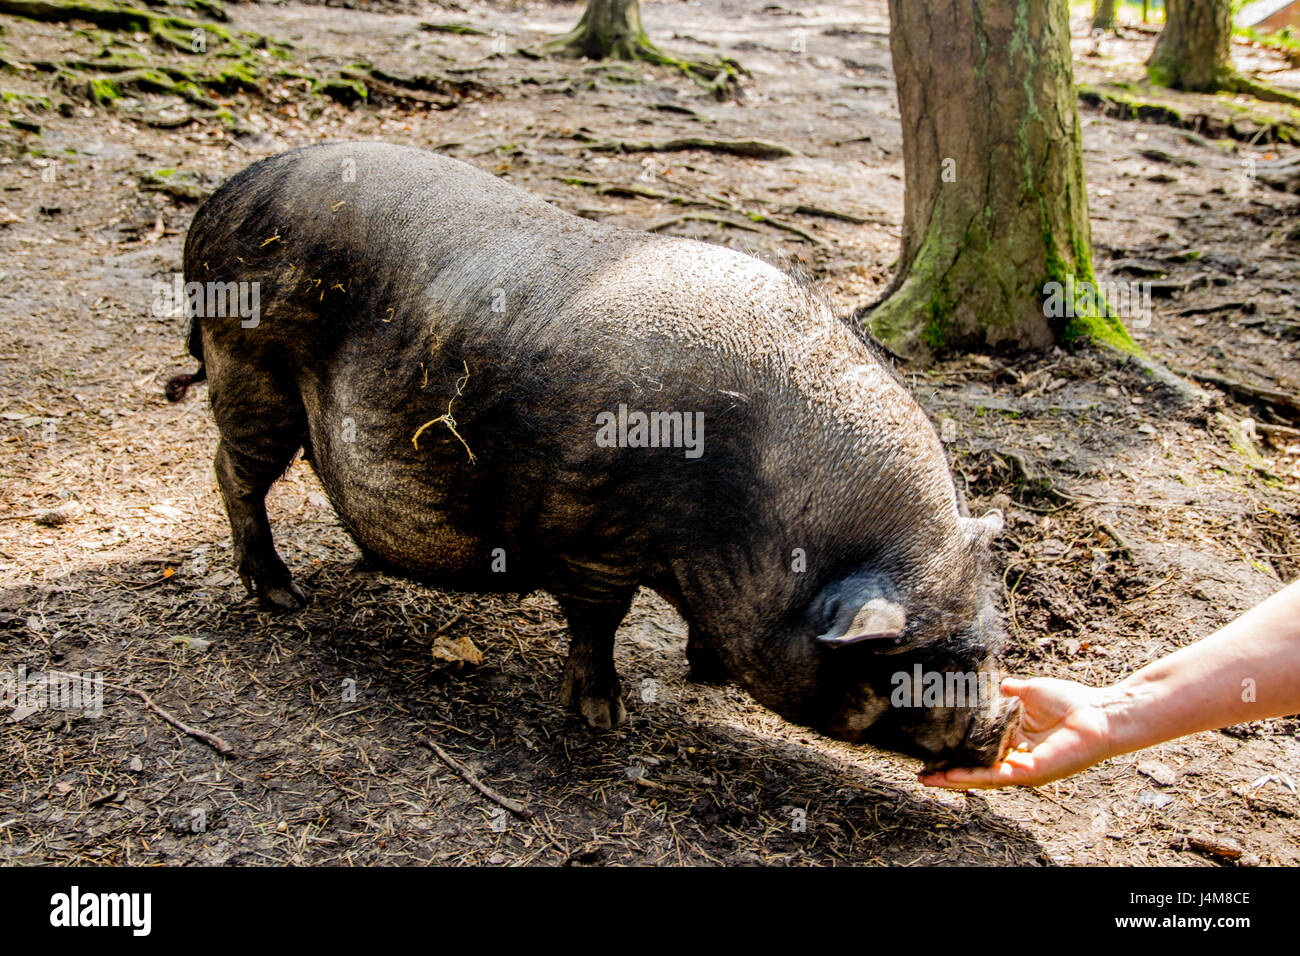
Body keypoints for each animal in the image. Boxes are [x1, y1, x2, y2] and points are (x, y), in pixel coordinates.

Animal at [168, 142, 1019, 770]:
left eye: (986, 646)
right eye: (914, 663)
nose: (1002, 726)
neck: (756, 514)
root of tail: (217, 200)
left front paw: (709, 676)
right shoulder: (592, 533)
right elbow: (598, 620)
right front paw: (605, 719)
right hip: (251, 371)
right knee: (233, 474)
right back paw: (281, 596)